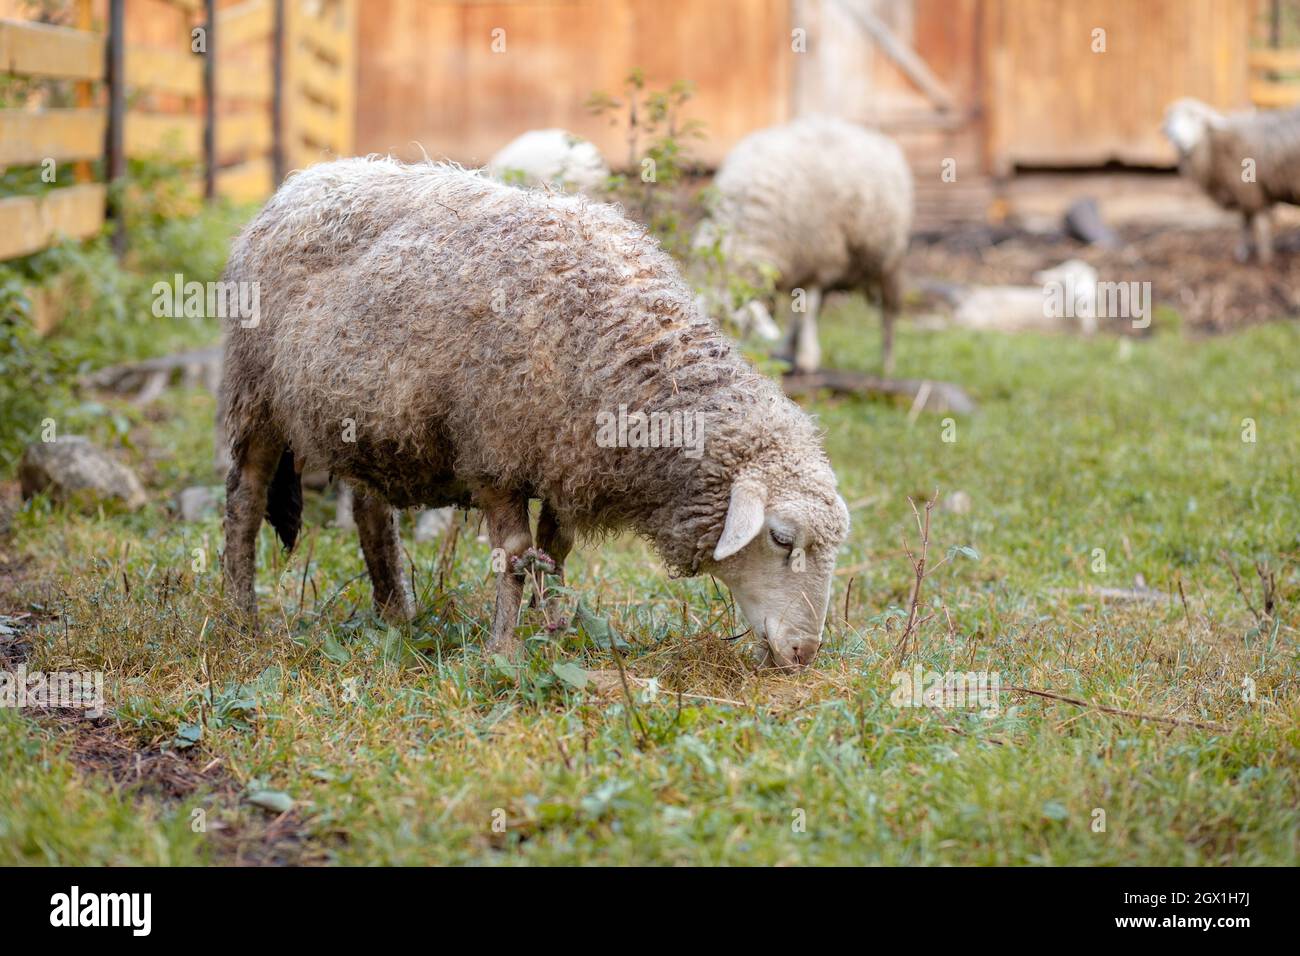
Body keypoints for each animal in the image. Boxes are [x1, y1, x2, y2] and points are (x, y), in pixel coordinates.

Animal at [220, 157, 850, 670]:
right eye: (781, 539)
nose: (804, 653)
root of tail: (305, 179)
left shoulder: (567, 459)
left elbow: (556, 551)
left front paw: (556, 631)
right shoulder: (495, 454)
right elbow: (518, 557)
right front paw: (504, 651)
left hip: (364, 416)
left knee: (372, 510)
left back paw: (396, 611)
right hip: (255, 392)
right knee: (245, 500)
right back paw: (241, 617)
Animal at [698, 116, 913, 375]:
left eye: (737, 326)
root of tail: (867, 132)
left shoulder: (819, 258)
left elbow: (808, 310)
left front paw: (807, 358)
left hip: (889, 260)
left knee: (888, 314)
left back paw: (887, 365)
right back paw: (787, 348)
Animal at [1162, 98, 1300, 263]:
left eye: (1197, 118)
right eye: (1170, 121)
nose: (1178, 138)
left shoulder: (1251, 191)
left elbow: (1260, 224)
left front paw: (1264, 256)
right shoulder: (1247, 193)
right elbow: (1245, 222)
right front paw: (1242, 252)